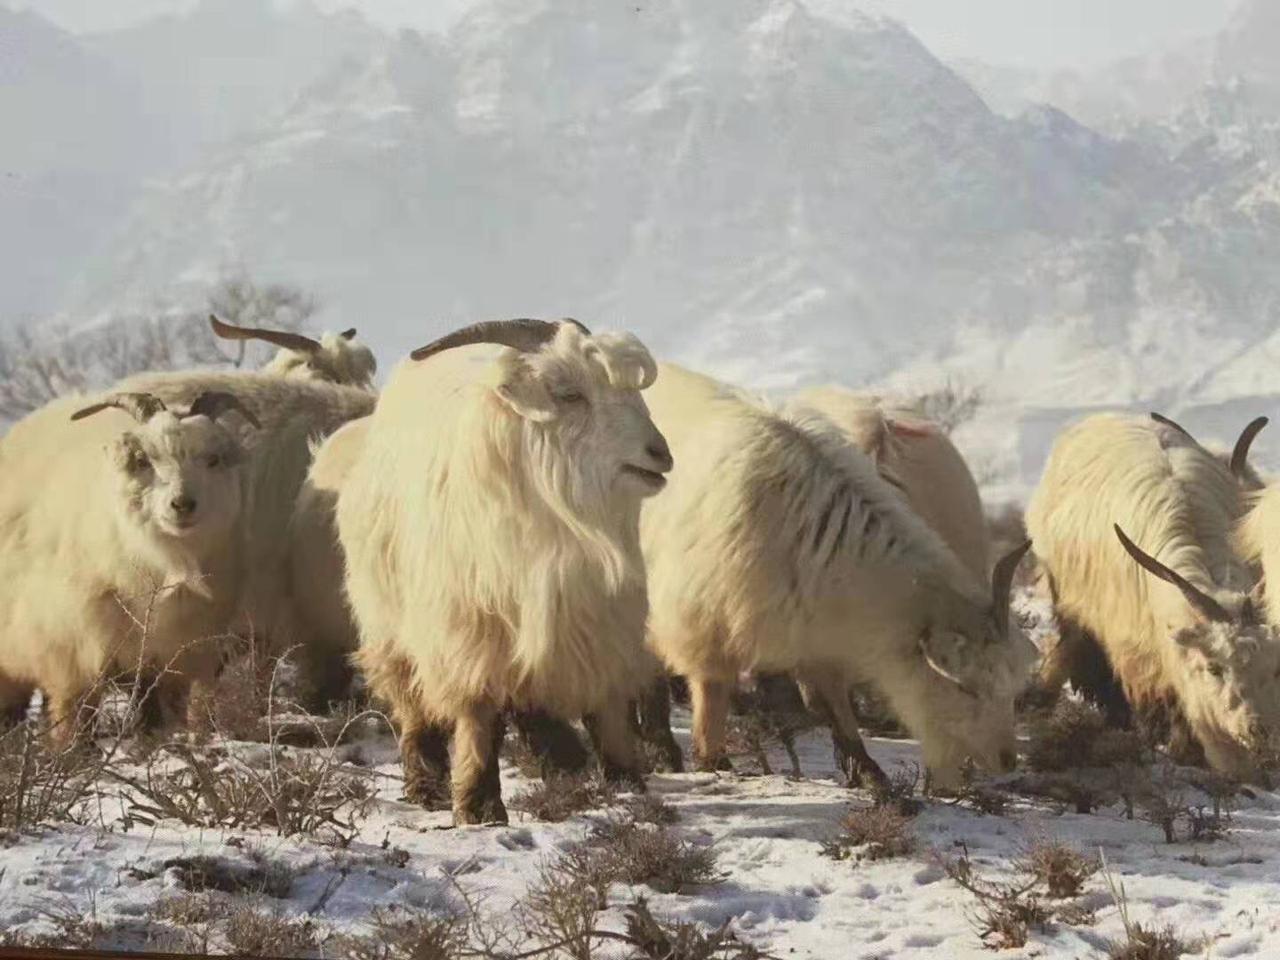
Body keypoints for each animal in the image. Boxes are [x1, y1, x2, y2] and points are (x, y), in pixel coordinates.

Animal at [0, 389, 257, 743]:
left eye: (213, 459)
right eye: (142, 460)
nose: (182, 504)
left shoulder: (169, 664)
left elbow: (157, 721)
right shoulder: (73, 664)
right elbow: (74, 727)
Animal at [334, 318, 673, 824]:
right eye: (569, 393)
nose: (659, 453)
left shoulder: (600, 620)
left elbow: (607, 707)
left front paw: (626, 782)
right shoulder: (469, 629)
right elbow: (479, 713)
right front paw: (479, 806)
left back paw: (563, 758)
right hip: (389, 621)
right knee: (412, 700)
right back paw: (426, 785)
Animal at [635, 363, 1037, 790]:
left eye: (1011, 686)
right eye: (964, 687)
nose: (1006, 760)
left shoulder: (813, 629)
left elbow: (835, 705)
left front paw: (870, 773)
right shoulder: (703, 627)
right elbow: (711, 700)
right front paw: (713, 762)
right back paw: (660, 749)